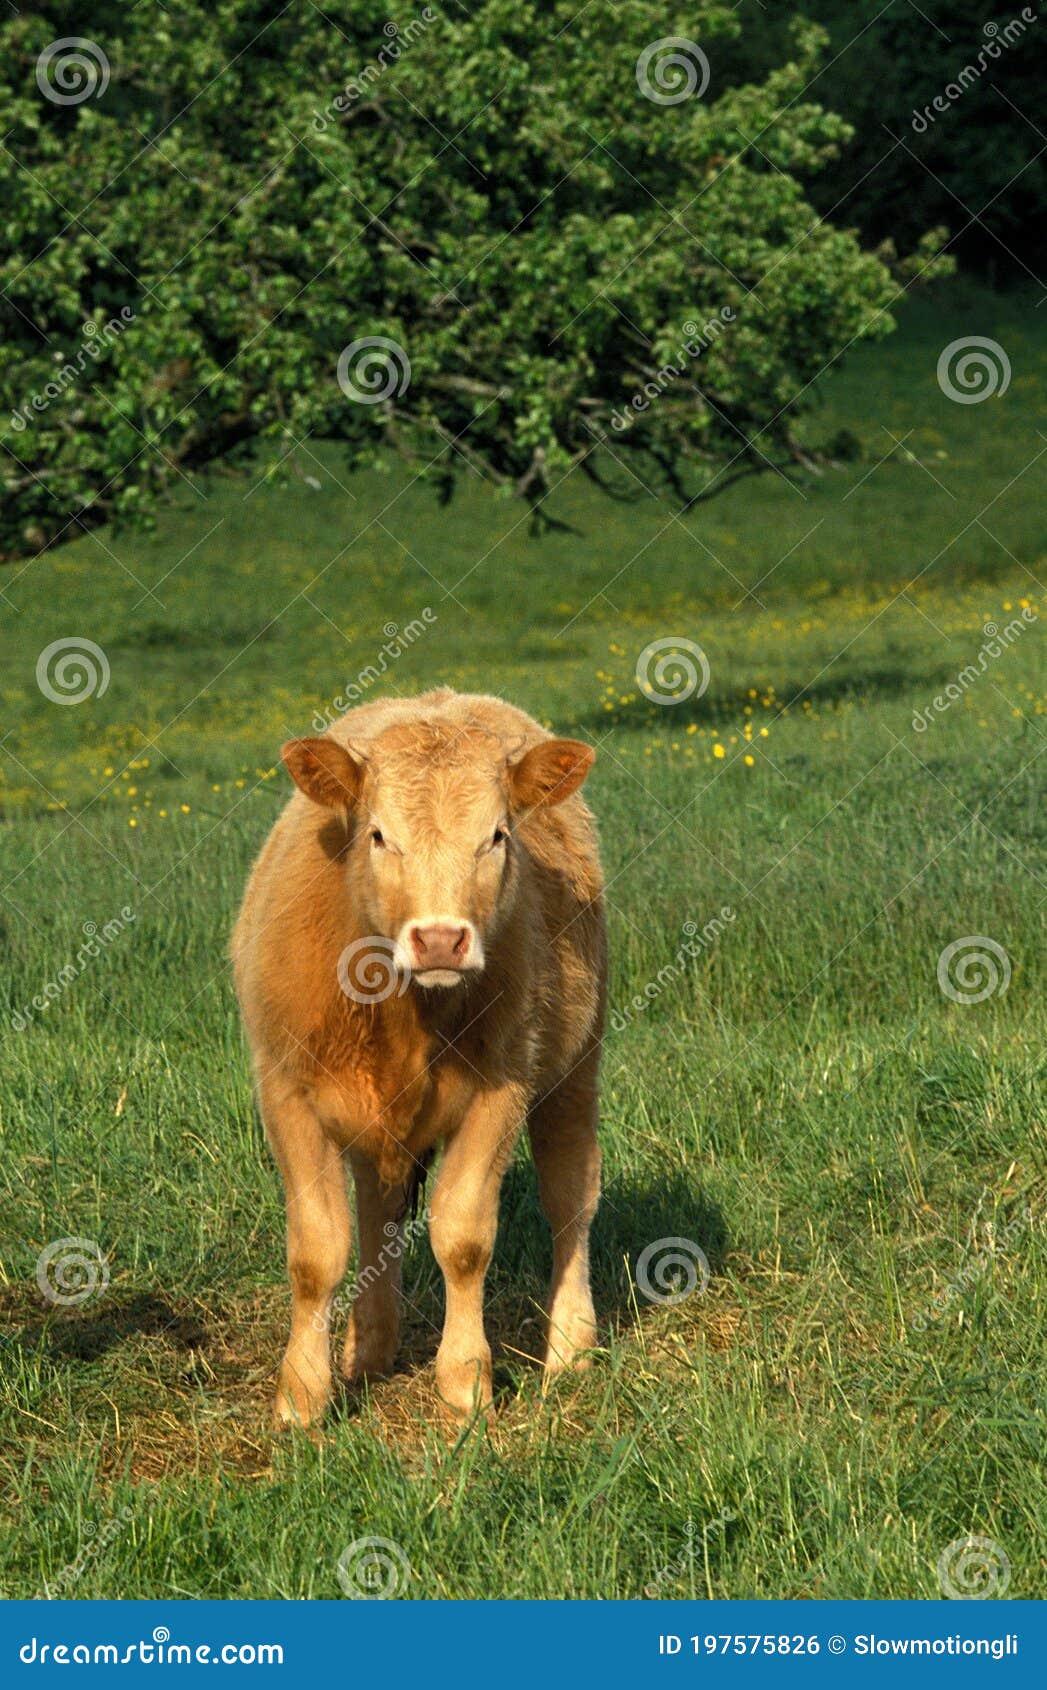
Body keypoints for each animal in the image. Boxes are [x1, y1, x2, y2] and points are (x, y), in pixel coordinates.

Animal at [231, 688, 606, 1425]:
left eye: (496, 835)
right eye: (378, 834)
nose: (438, 939)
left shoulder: (501, 1091)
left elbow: (462, 1238)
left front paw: (465, 1383)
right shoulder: (286, 1090)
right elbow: (317, 1252)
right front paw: (302, 1397)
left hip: (577, 1069)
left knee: (571, 1201)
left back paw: (570, 1348)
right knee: (378, 1215)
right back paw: (368, 1349)